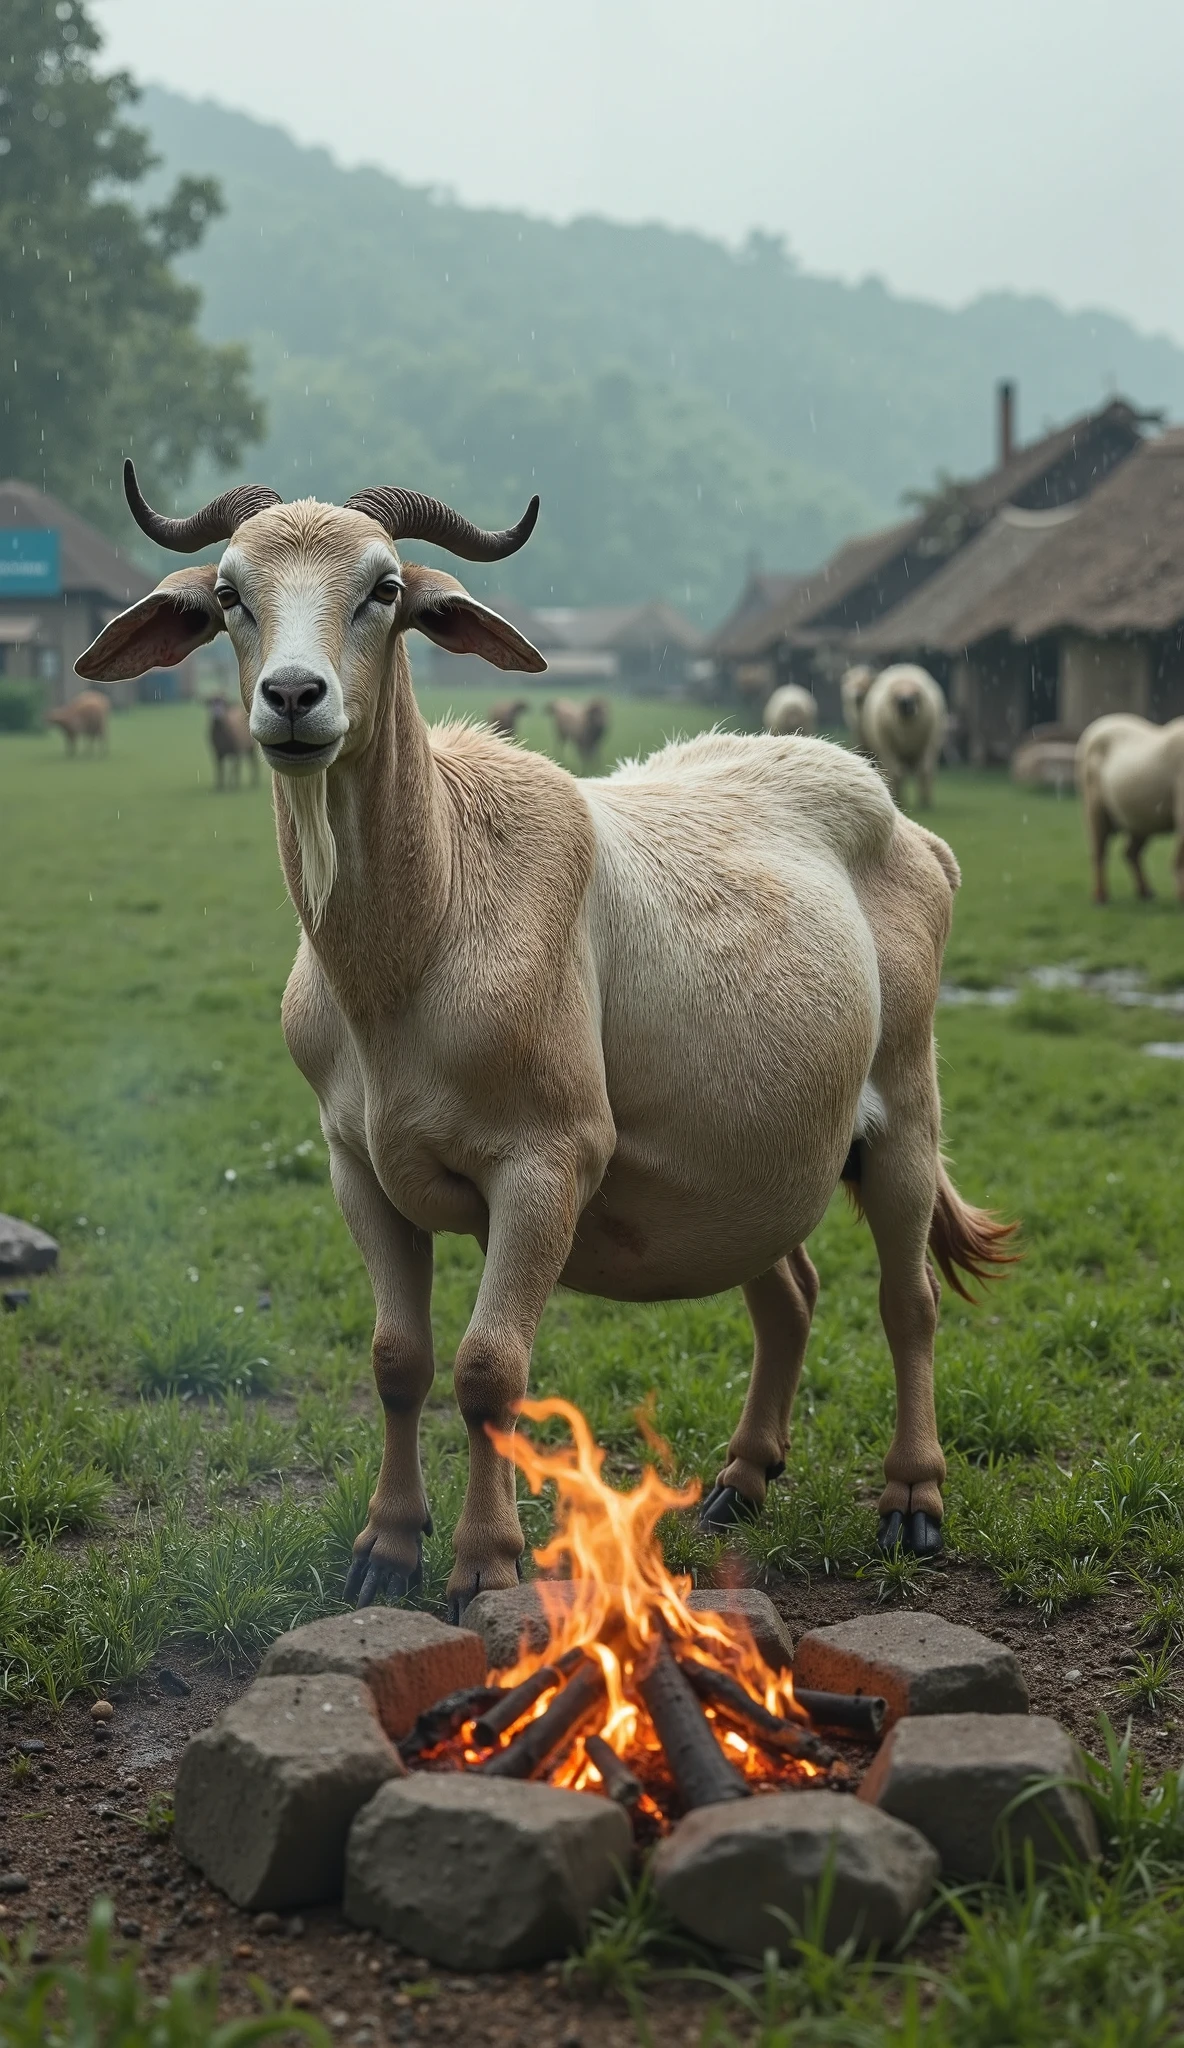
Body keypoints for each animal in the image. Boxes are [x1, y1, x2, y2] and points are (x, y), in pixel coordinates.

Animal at [859, 664, 948, 808]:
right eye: (896, 696)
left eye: (916, 694)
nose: (906, 704)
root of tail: (904, 667)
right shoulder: (887, 747)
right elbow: (894, 773)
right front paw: (898, 799)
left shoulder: (930, 744)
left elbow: (925, 770)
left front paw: (926, 802)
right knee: (898, 773)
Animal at [1077, 713, 1184, 903]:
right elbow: (1180, 860)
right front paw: (1181, 897)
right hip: (1094, 803)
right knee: (1099, 851)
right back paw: (1100, 897)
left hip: (1141, 817)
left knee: (1130, 851)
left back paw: (1145, 892)